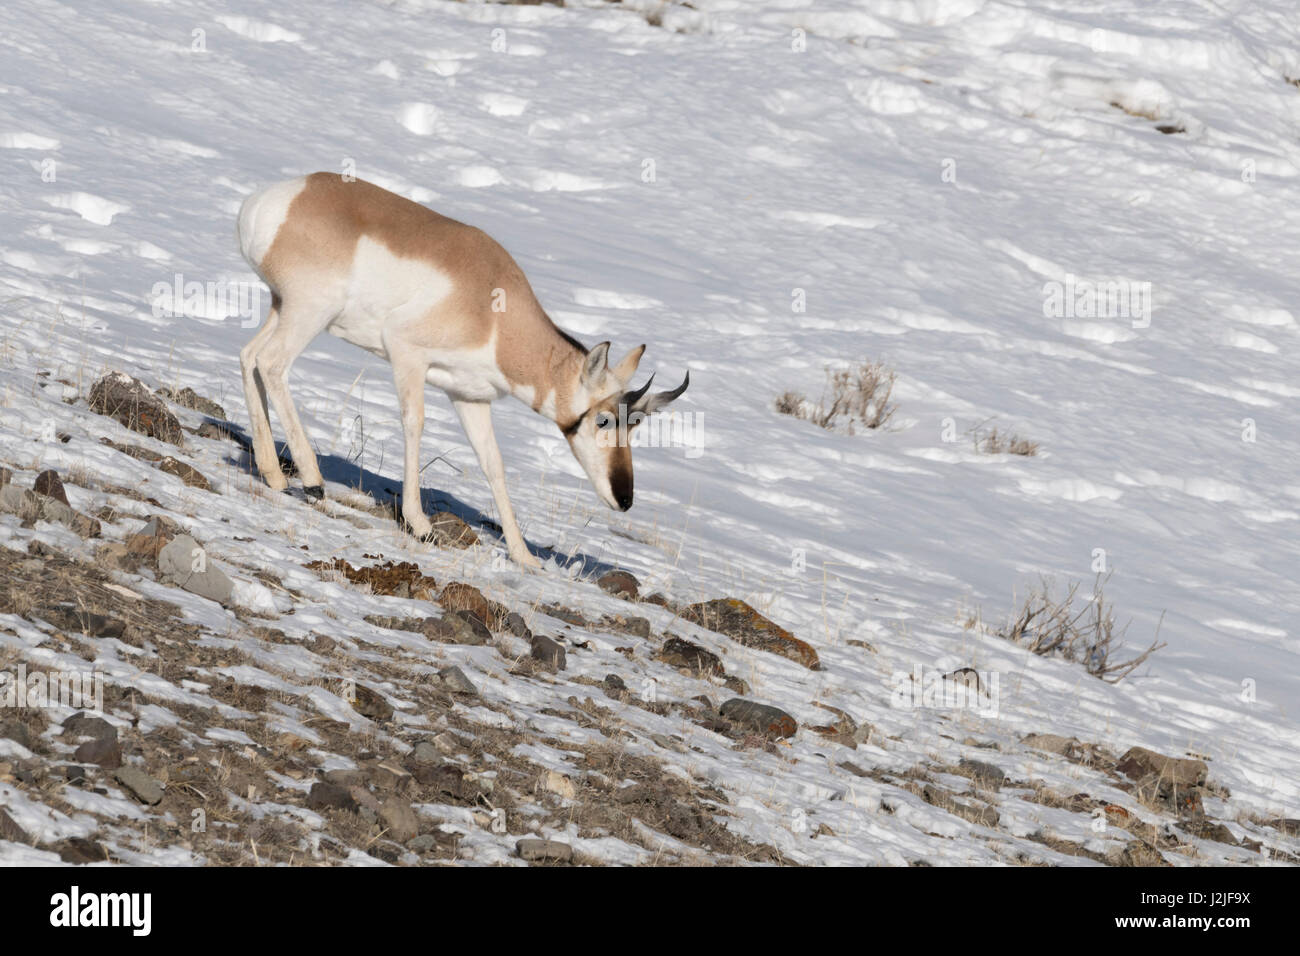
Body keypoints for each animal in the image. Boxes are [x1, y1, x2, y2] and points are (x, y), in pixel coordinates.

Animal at [236, 172, 689, 568]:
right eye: (604, 419)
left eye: (636, 424)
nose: (625, 498)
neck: (494, 312)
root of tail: (271, 200)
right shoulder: (407, 356)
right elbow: (414, 425)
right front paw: (420, 524)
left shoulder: (470, 398)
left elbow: (493, 464)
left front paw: (525, 558)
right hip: (308, 313)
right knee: (272, 364)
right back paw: (311, 478)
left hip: (282, 308)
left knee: (249, 357)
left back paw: (274, 474)